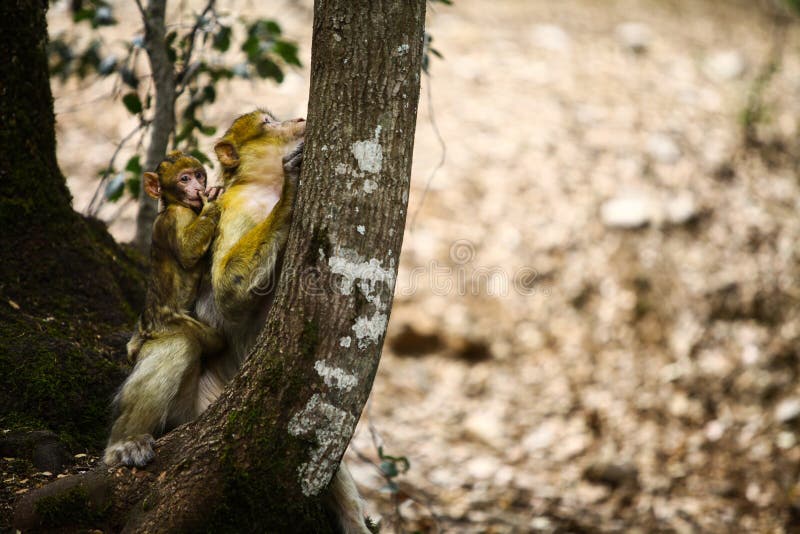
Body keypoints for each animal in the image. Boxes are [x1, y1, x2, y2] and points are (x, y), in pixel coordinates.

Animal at [104, 151, 224, 467]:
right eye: (185, 178)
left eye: (199, 175)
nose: (198, 186)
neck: (173, 204)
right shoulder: (176, 219)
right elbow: (189, 251)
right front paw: (213, 203)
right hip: (167, 325)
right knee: (184, 344)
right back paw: (123, 445)